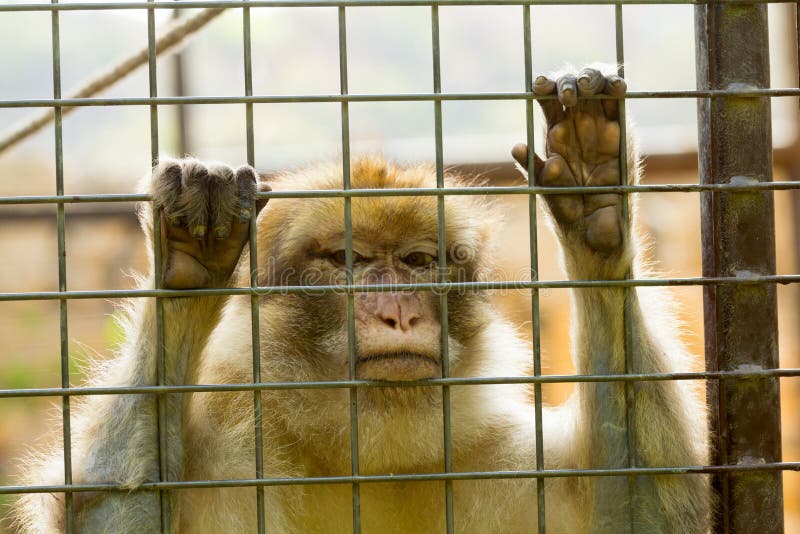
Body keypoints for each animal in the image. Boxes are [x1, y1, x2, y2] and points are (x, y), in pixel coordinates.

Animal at [13, 66, 710, 533]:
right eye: (351, 263)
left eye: (419, 263)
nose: (399, 311)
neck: (366, 456)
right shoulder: (232, 458)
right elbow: (109, 512)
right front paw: (186, 270)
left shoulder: (500, 463)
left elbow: (645, 509)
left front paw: (596, 211)